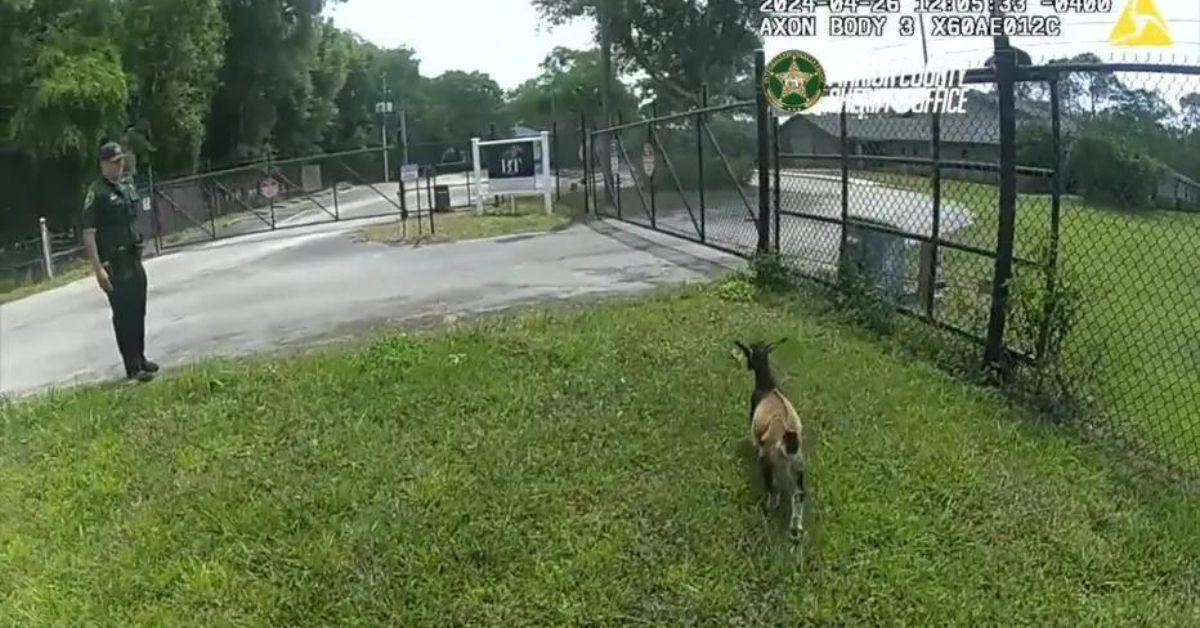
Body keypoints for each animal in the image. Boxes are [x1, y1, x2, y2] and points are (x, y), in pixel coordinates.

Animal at [734, 338, 806, 540]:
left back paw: (768, 509)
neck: (767, 387)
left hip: (769, 458)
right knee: (799, 494)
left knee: (772, 488)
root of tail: (789, 441)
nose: (748, 366)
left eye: (749, 352)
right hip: (798, 465)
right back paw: (796, 528)